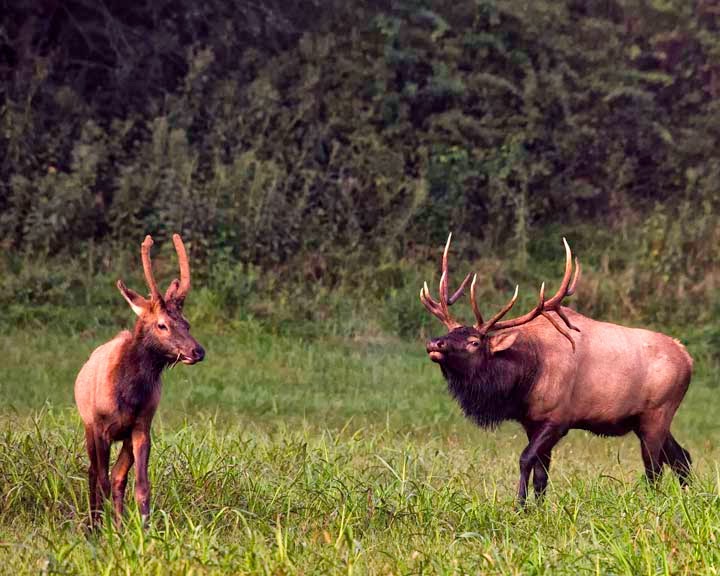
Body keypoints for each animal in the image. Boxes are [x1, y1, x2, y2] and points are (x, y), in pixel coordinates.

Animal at [75, 234, 205, 526]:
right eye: (162, 324)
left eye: (187, 323)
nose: (197, 351)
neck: (128, 395)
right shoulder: (100, 427)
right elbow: (101, 479)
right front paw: (102, 530)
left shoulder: (142, 426)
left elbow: (140, 485)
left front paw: (144, 528)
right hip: (88, 426)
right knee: (94, 474)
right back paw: (94, 524)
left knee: (117, 477)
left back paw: (118, 522)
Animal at [420, 235, 693, 507]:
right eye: (450, 332)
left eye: (474, 342)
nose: (435, 343)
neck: (524, 379)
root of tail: (688, 358)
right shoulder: (532, 422)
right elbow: (541, 475)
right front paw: (536, 509)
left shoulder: (557, 419)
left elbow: (525, 459)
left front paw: (519, 505)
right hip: (644, 419)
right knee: (682, 457)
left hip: (658, 412)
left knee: (654, 468)